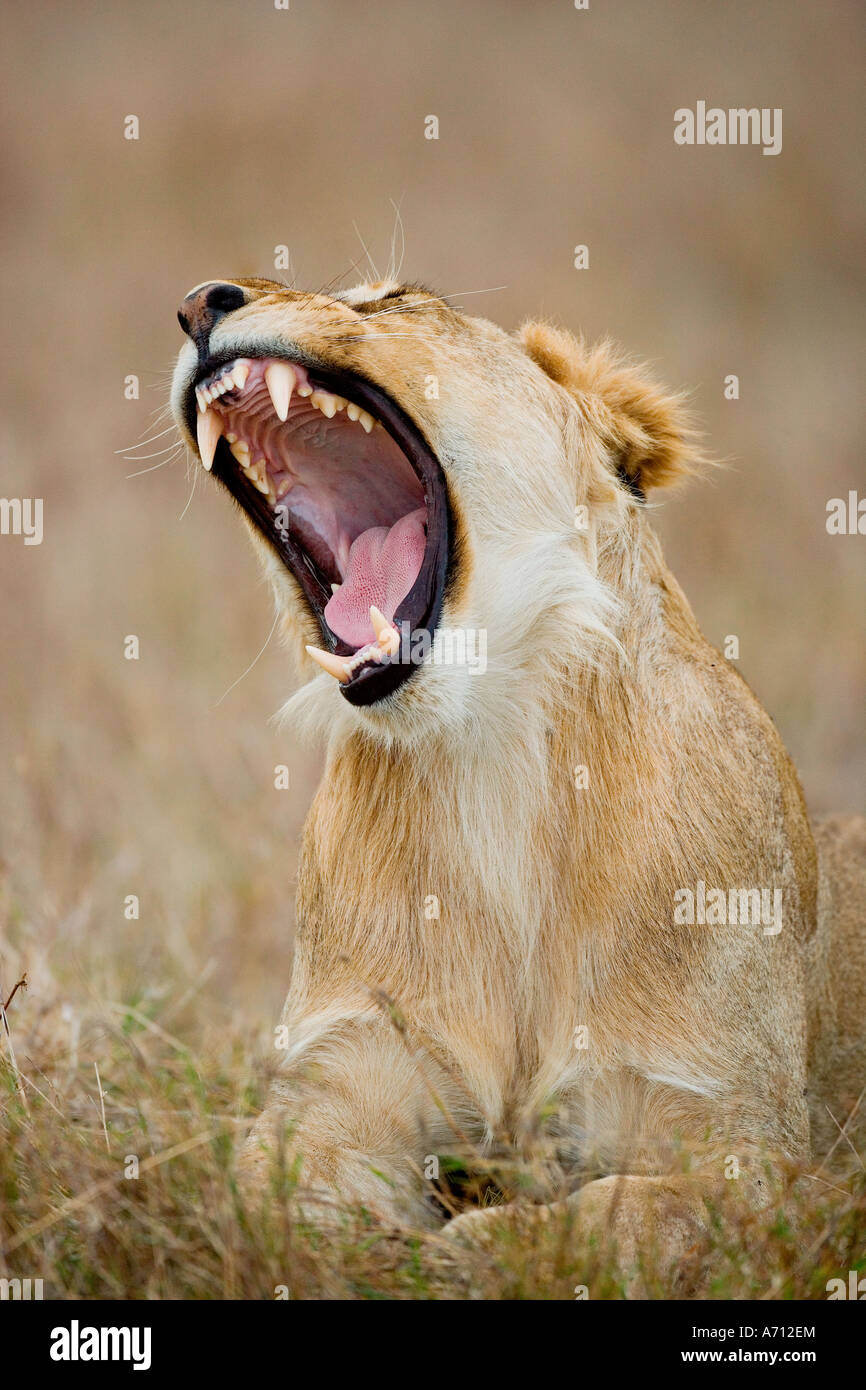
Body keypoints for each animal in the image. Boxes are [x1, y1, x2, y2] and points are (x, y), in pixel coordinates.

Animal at [170, 277, 866, 1291]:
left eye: (394, 299)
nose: (195, 304)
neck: (494, 757)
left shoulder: (754, 1151)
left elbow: (626, 1214)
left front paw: (469, 1249)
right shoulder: (338, 1084)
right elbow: (258, 1195)